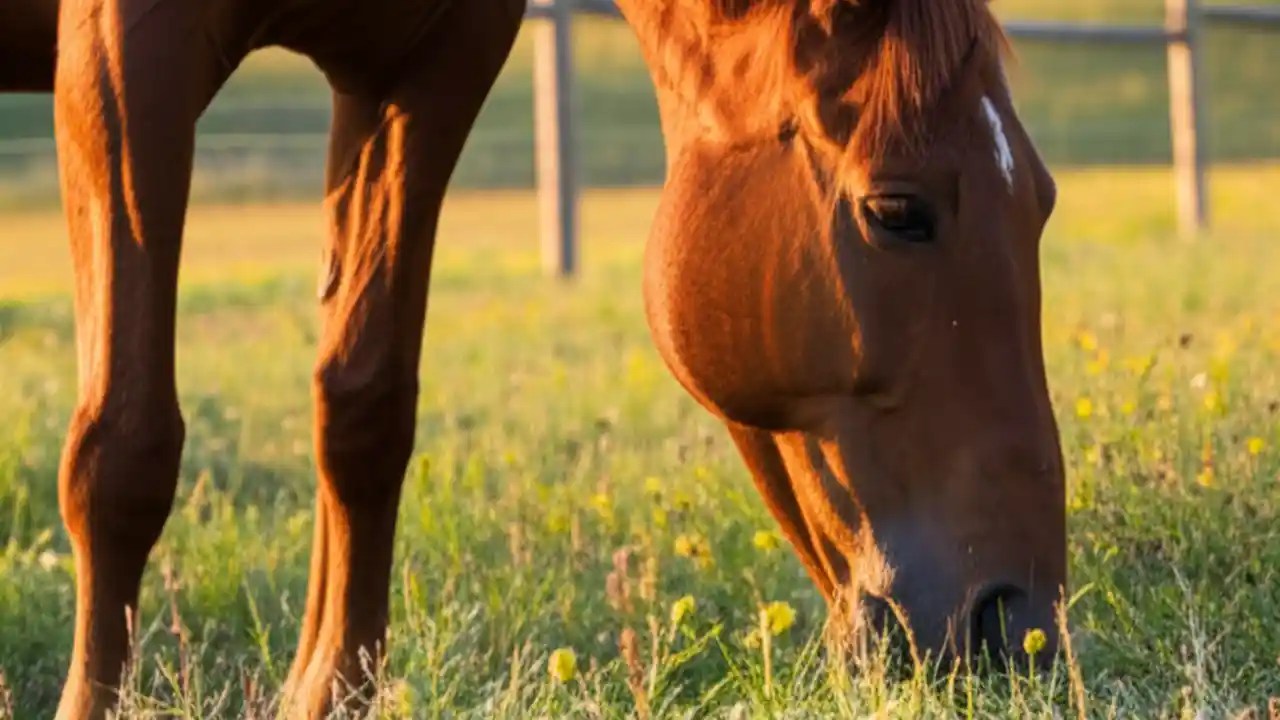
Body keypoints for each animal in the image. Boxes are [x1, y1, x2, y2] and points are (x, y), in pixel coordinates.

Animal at [0, 0, 1063, 717]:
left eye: (1043, 201)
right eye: (897, 211)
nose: (1015, 627)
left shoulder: (424, 68)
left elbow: (364, 412)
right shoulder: (127, 52)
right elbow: (125, 449)